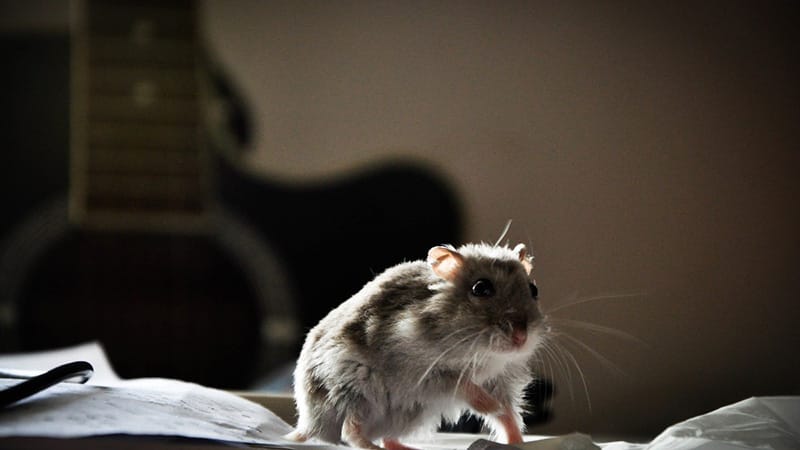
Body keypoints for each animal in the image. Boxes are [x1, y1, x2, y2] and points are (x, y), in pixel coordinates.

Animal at [287, 242, 547, 450]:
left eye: (534, 290)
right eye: (481, 288)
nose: (521, 337)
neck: (482, 354)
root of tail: (308, 424)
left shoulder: (500, 380)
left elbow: (508, 417)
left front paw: (517, 441)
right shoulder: (428, 374)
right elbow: (467, 387)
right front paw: (493, 406)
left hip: (406, 415)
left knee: (387, 438)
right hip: (355, 389)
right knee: (350, 430)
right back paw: (372, 447)